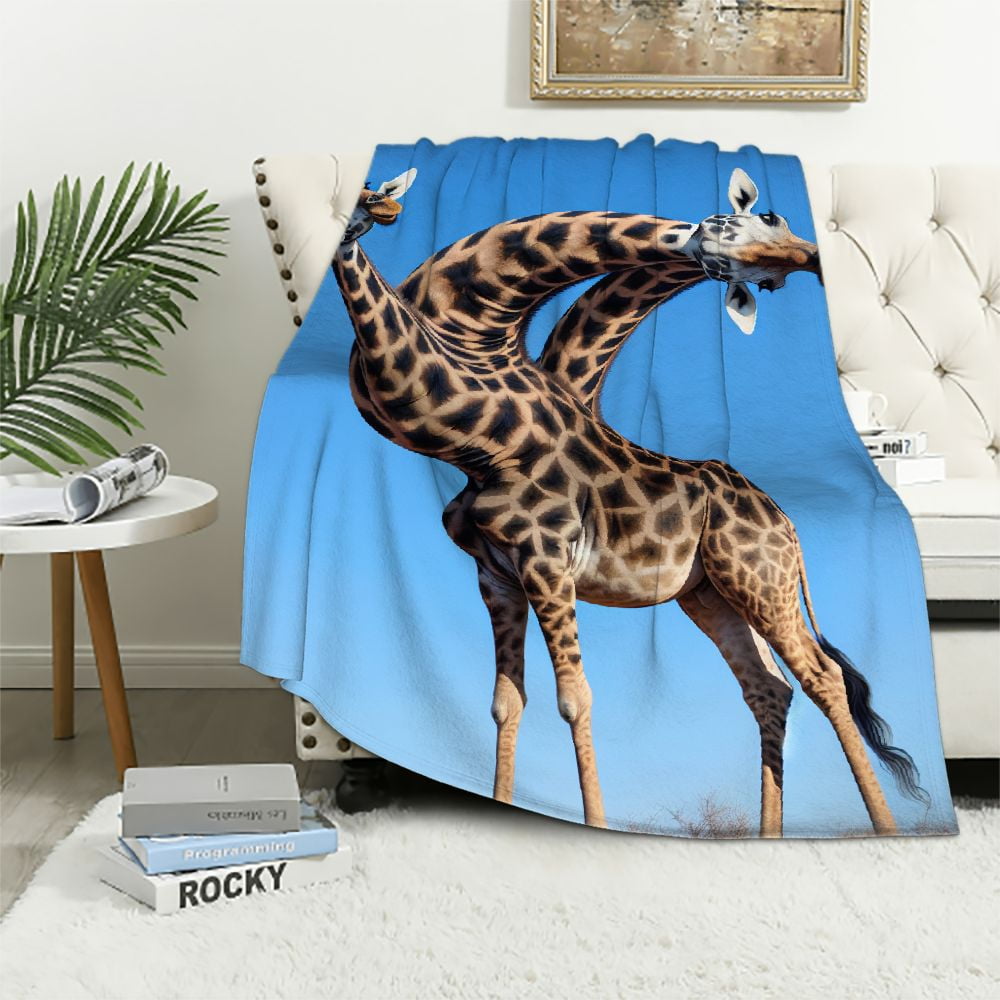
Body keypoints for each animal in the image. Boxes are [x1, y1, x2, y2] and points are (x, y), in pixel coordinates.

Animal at [332, 169, 923, 836]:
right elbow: (507, 702)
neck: (484, 445)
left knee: (823, 676)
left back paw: (883, 828)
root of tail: (788, 526)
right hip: (711, 595)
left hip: (761, 583)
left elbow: (574, 698)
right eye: (762, 223)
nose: (807, 259)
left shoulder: (548, 562)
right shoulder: (497, 576)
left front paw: (592, 826)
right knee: (769, 688)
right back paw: (771, 833)